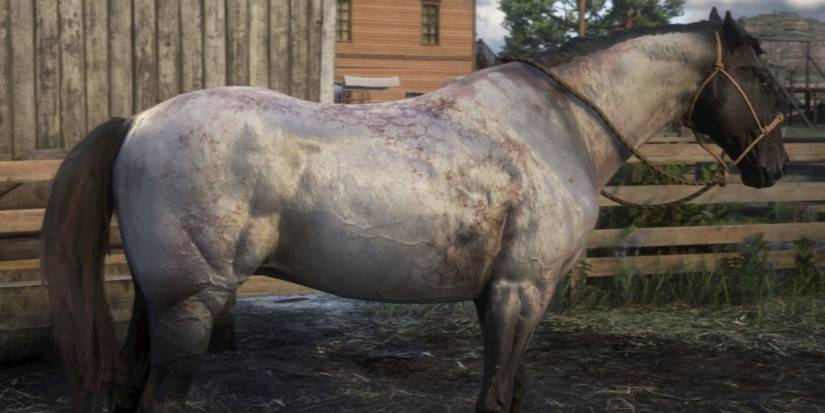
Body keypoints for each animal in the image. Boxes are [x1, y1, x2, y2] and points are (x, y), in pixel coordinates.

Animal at [41, 9, 788, 413]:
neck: (556, 127)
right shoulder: (521, 291)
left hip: (158, 301)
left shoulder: (505, 295)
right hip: (192, 303)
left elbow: (513, 389)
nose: (773, 165)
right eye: (759, 76)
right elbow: (495, 395)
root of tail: (139, 121)